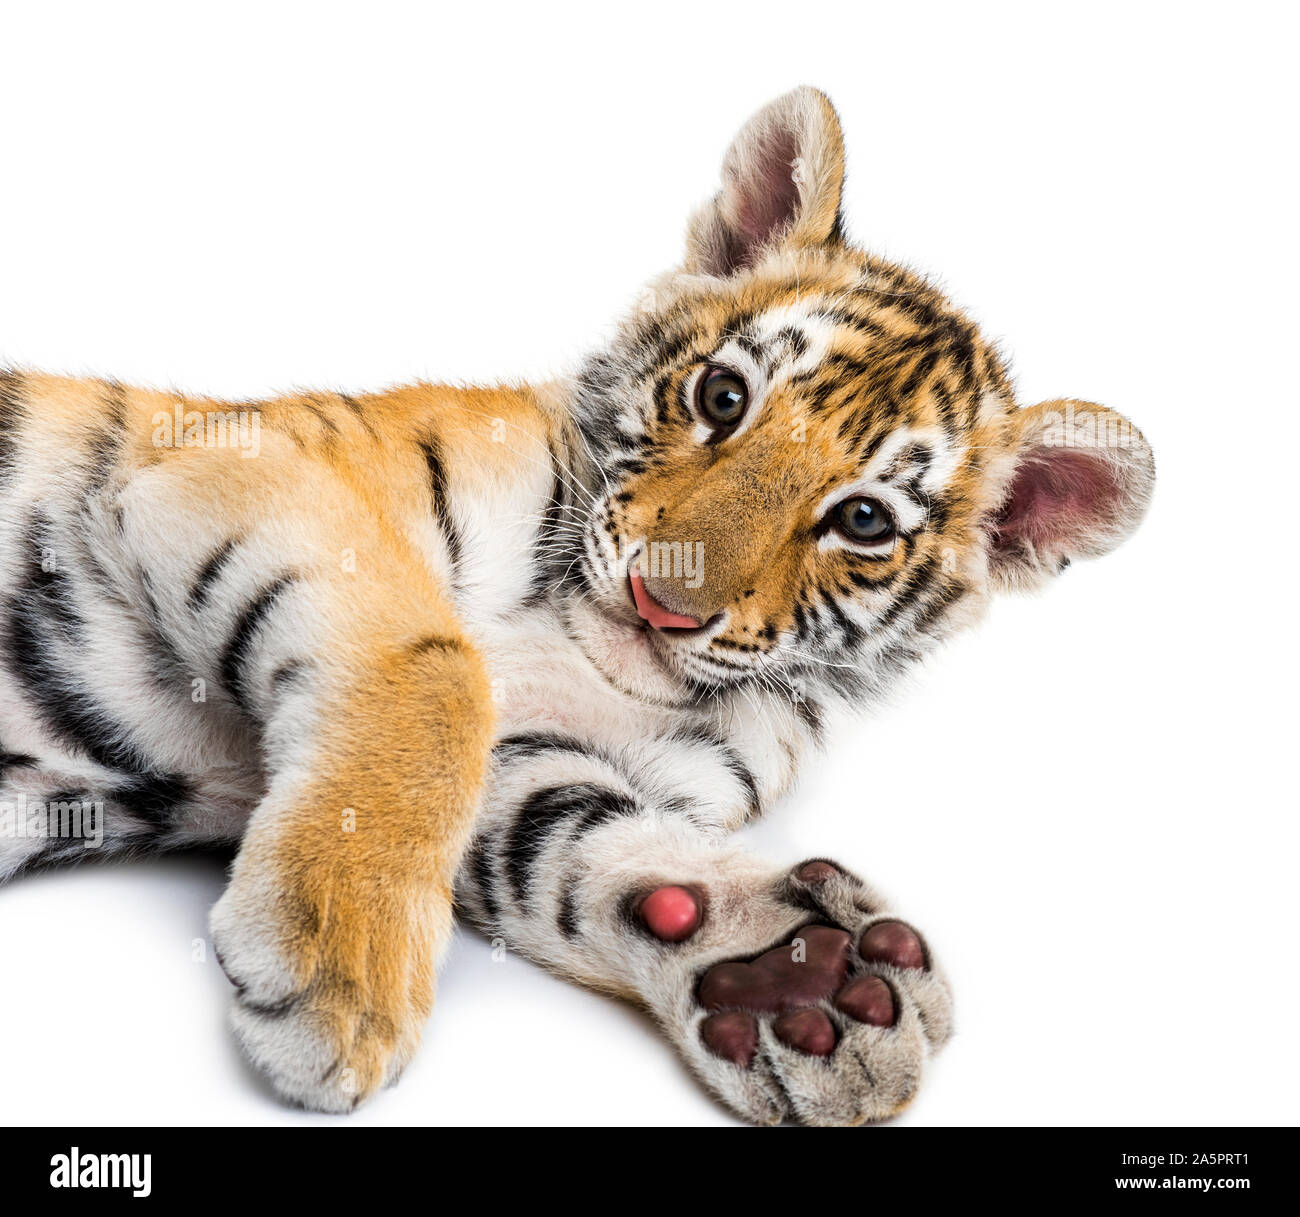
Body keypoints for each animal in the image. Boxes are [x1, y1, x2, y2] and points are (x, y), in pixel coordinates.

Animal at [0, 86, 1153, 1125]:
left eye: (862, 521)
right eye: (722, 397)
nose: (662, 601)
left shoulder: (552, 765)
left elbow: (581, 837)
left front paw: (800, 981)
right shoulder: (236, 463)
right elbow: (438, 672)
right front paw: (340, 979)